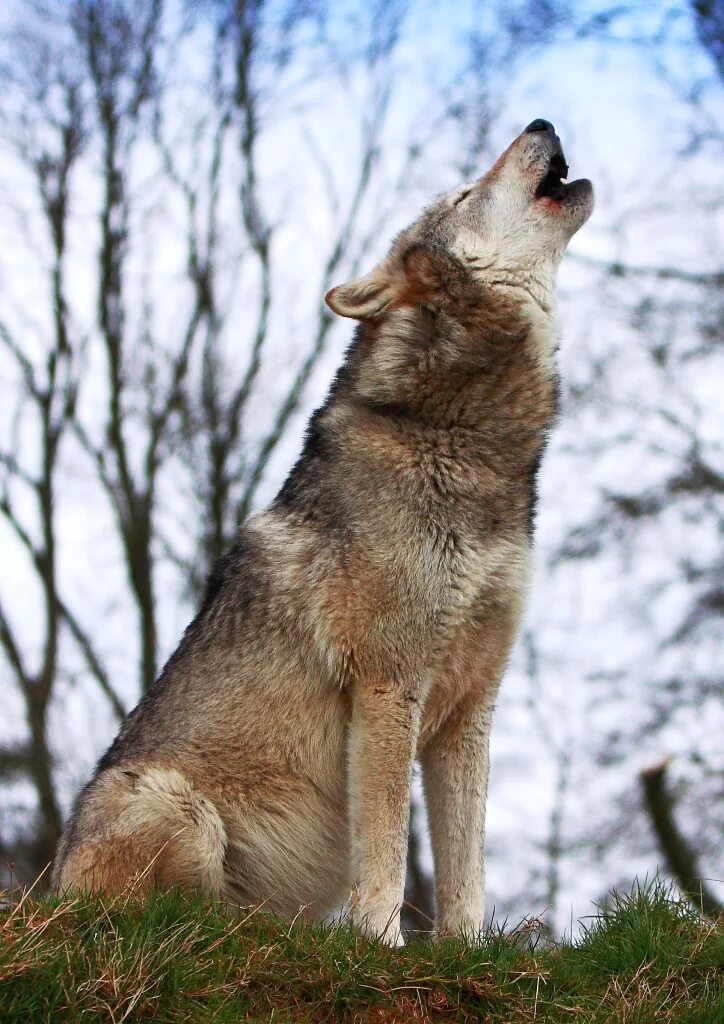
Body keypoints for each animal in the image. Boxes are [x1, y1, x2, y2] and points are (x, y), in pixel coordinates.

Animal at [52, 117, 593, 942]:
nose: (541, 123)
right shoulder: (387, 685)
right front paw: (381, 943)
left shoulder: (471, 706)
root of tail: (47, 892)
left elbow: (465, 863)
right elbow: (388, 846)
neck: (453, 435)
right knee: (170, 918)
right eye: (465, 193)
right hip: (171, 802)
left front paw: (468, 950)